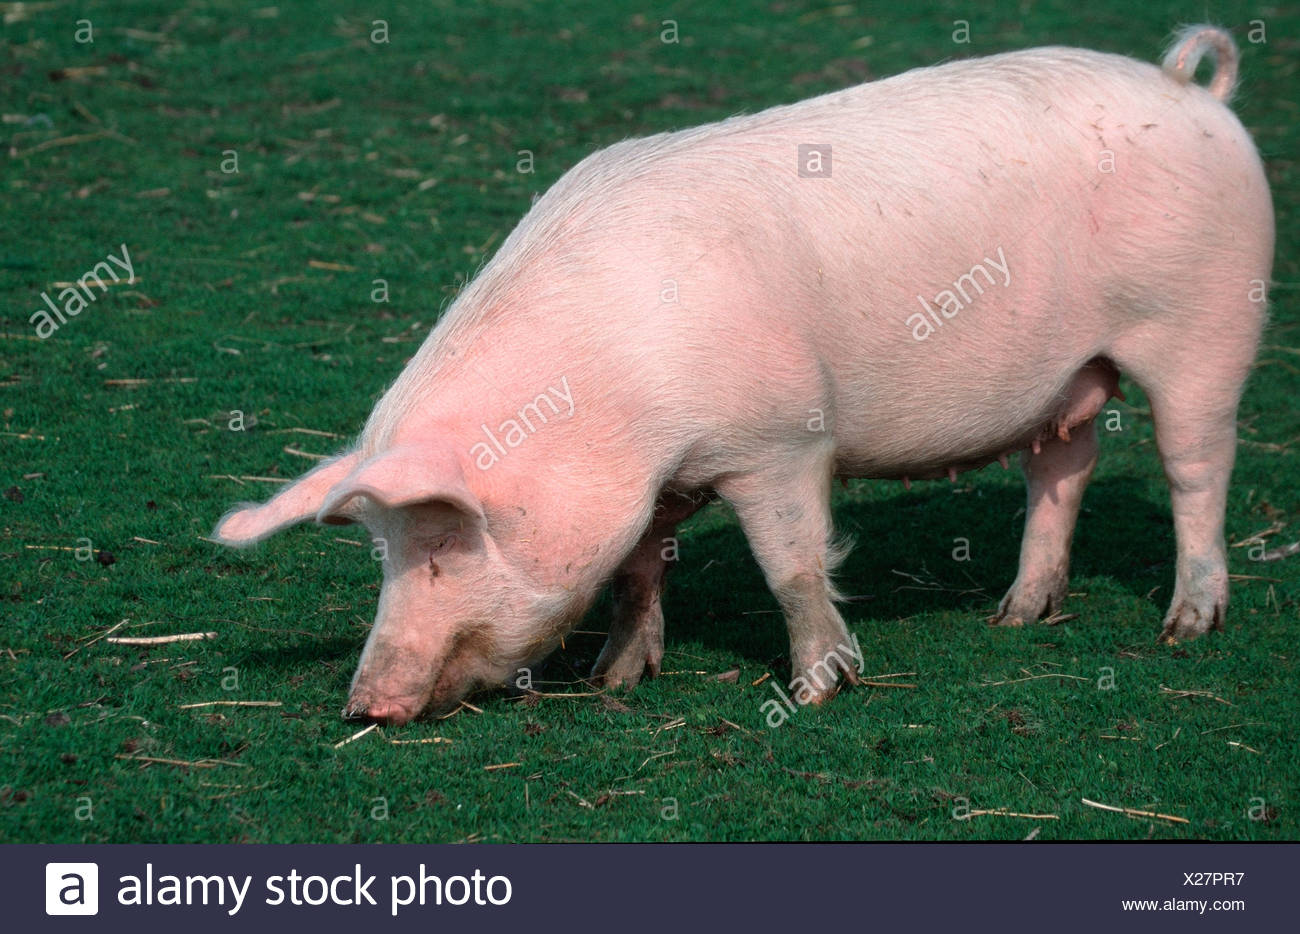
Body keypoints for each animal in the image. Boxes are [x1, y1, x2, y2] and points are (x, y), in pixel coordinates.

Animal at [214, 26, 1273, 725]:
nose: (367, 706)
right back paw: (1016, 618)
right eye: (383, 552)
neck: (611, 396)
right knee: (1063, 467)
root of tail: (1196, 91)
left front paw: (815, 692)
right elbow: (638, 567)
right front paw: (615, 680)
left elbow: (792, 565)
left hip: (1203, 330)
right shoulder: (659, 481)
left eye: (440, 547)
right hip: (1071, 376)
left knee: (1197, 470)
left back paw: (1186, 627)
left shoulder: (781, 440)